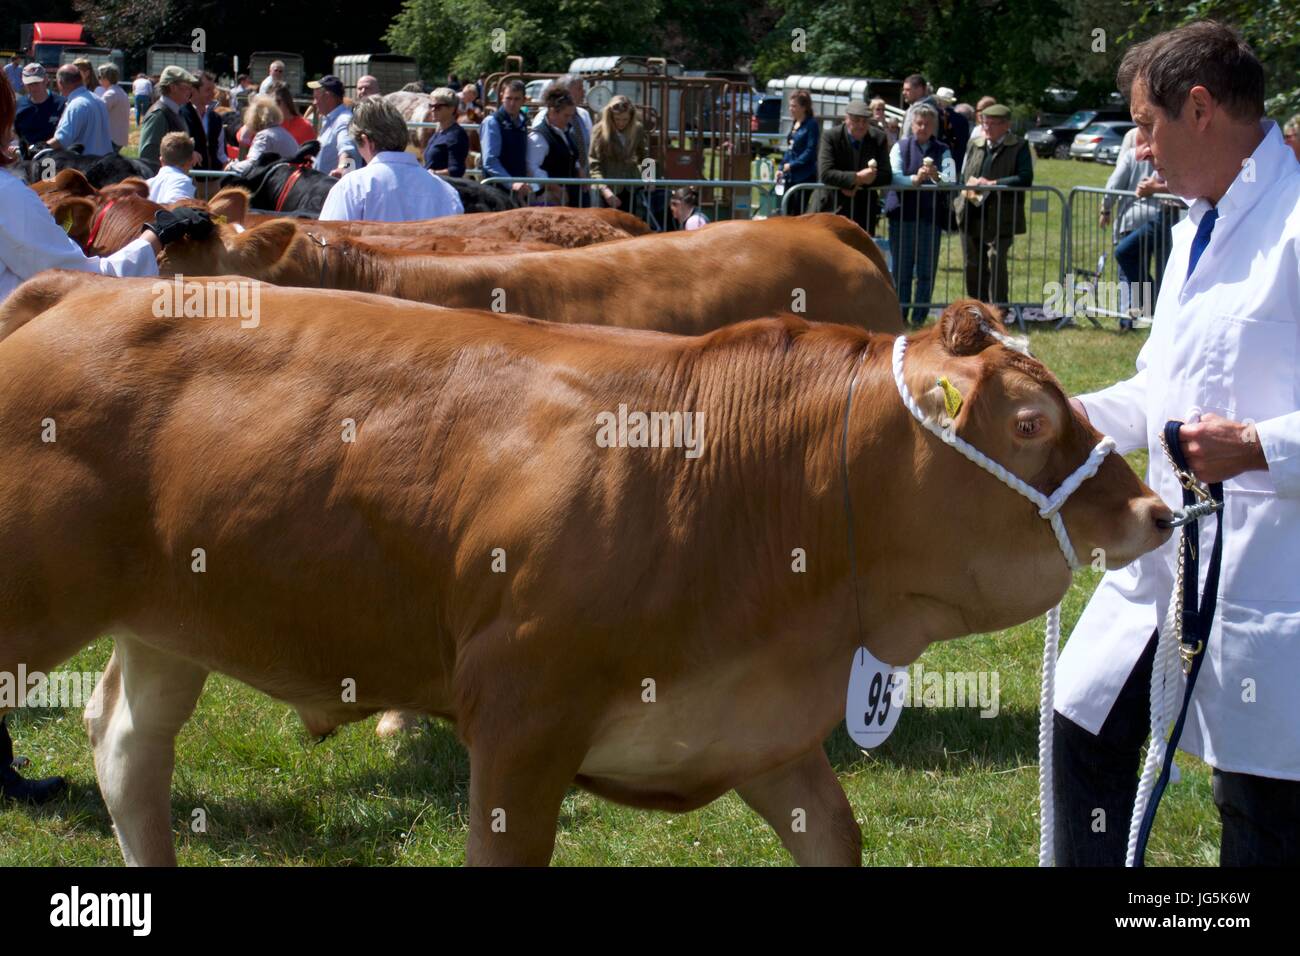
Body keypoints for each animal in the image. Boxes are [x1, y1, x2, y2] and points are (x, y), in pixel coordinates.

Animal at [0, 275, 1172, 865]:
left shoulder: (759, 726)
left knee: (126, 748)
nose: (1157, 510)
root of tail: (79, 292)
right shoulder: (519, 721)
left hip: (172, 619)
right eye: (1029, 423)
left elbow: (835, 836)